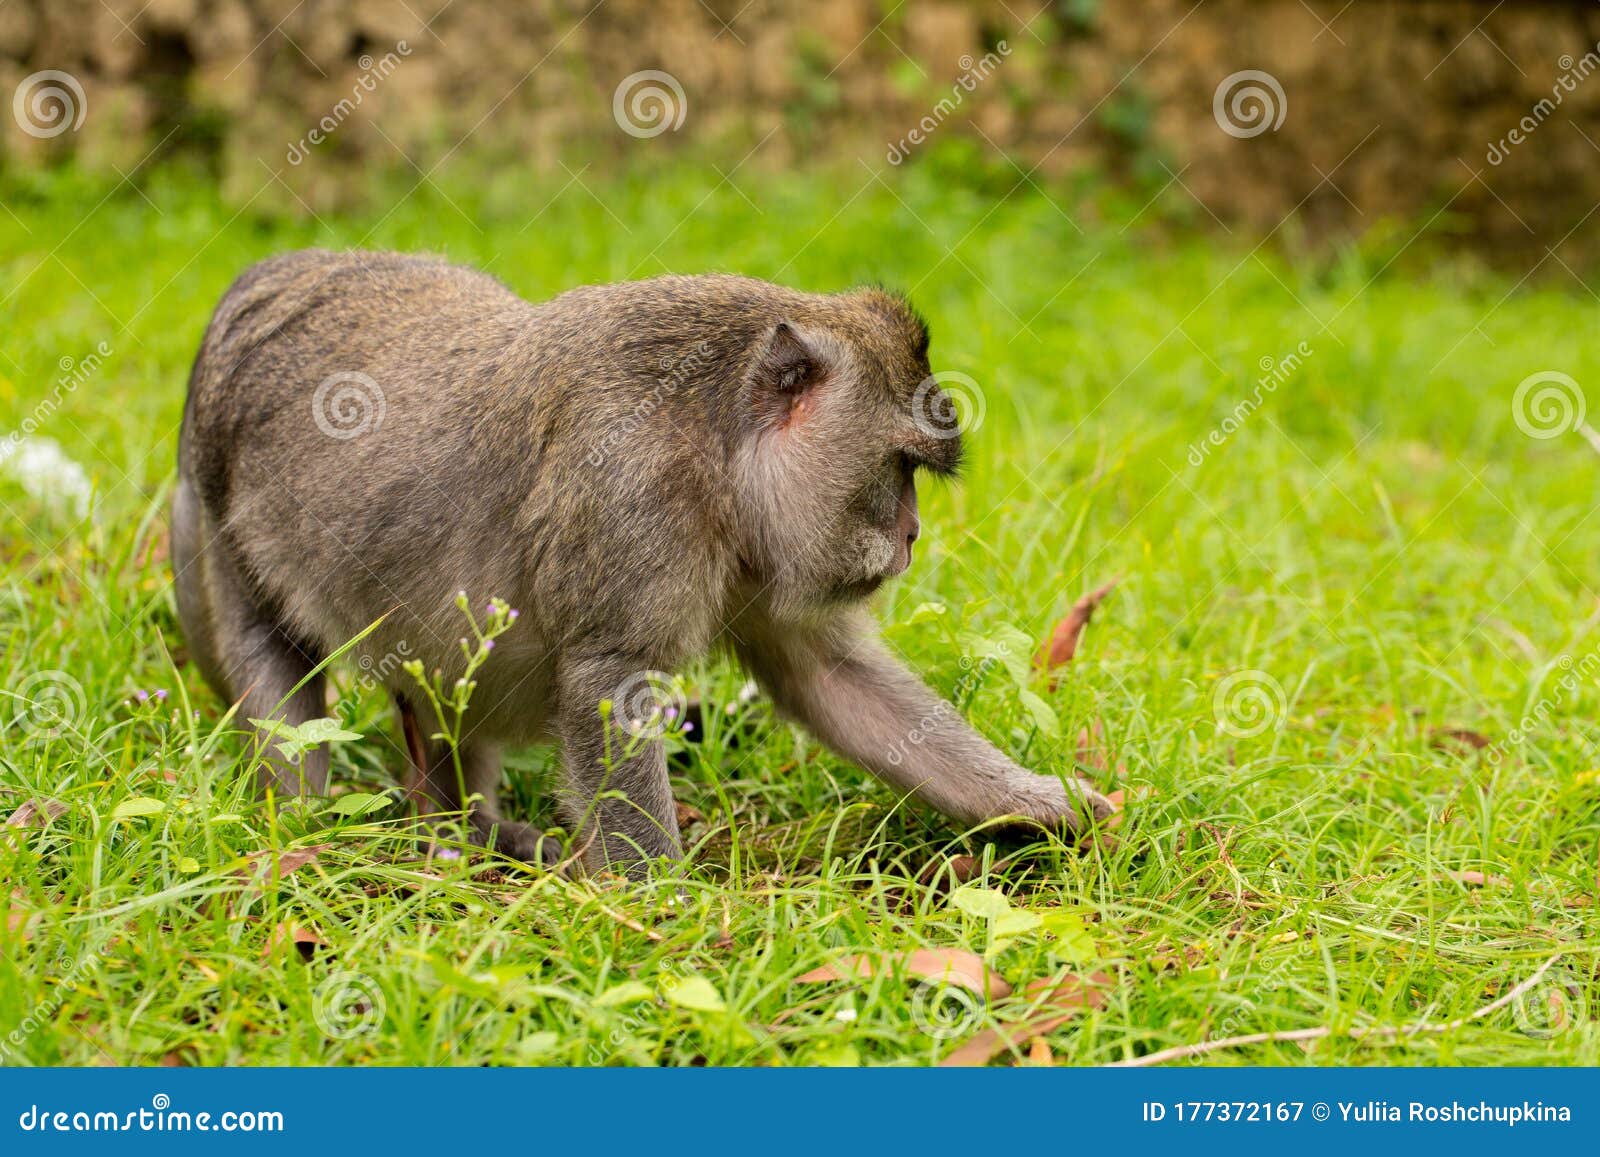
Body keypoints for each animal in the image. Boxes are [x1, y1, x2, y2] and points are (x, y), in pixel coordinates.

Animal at [172, 250, 1115, 875]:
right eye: (900, 468)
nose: (913, 533)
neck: (714, 440)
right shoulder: (632, 494)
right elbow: (610, 678)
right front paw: (665, 913)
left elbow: (827, 675)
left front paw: (1034, 800)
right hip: (223, 519)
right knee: (280, 664)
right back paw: (321, 830)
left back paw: (470, 834)